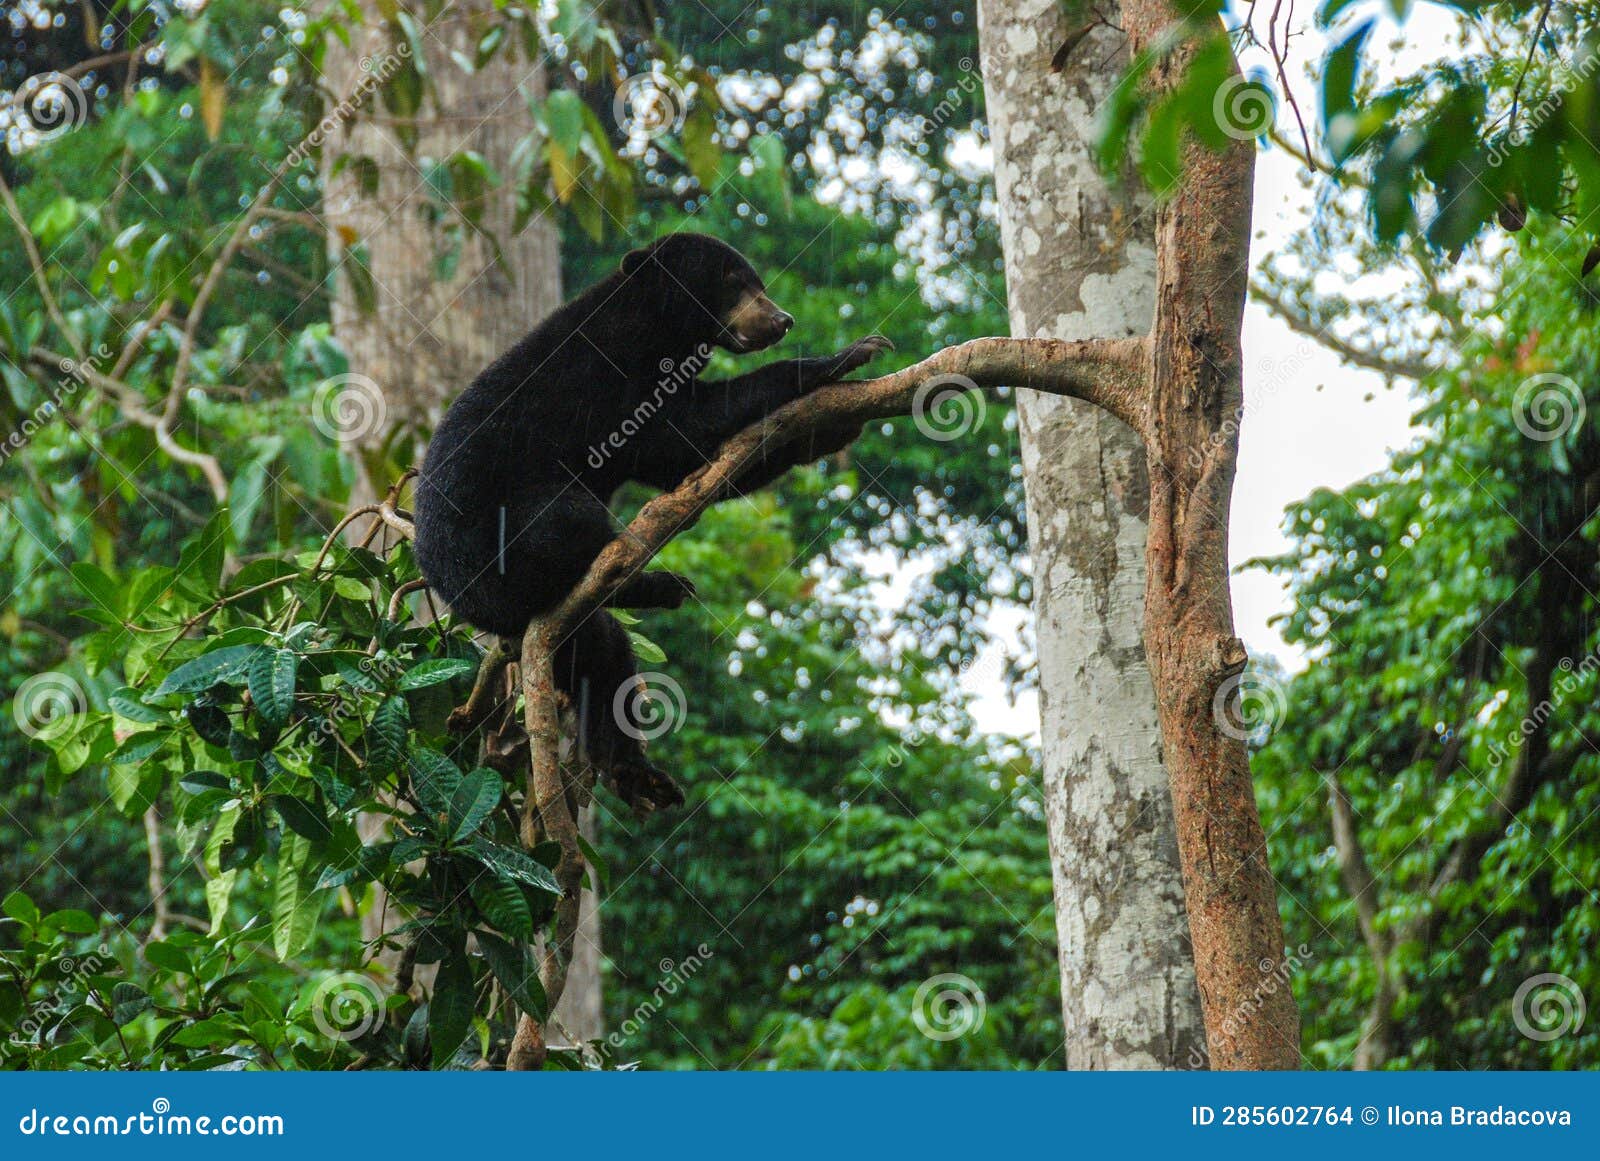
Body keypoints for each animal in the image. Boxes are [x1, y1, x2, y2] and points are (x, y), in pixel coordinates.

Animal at [414, 232, 892, 813]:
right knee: (568, 528)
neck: (651, 329)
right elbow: (682, 426)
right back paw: (660, 584)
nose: (782, 319)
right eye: (735, 281)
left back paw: (639, 775)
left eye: (757, 282)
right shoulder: (607, 380)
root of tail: (463, 598)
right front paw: (847, 355)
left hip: (557, 627)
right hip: (502, 531)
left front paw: (835, 426)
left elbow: (681, 456)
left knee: (604, 659)